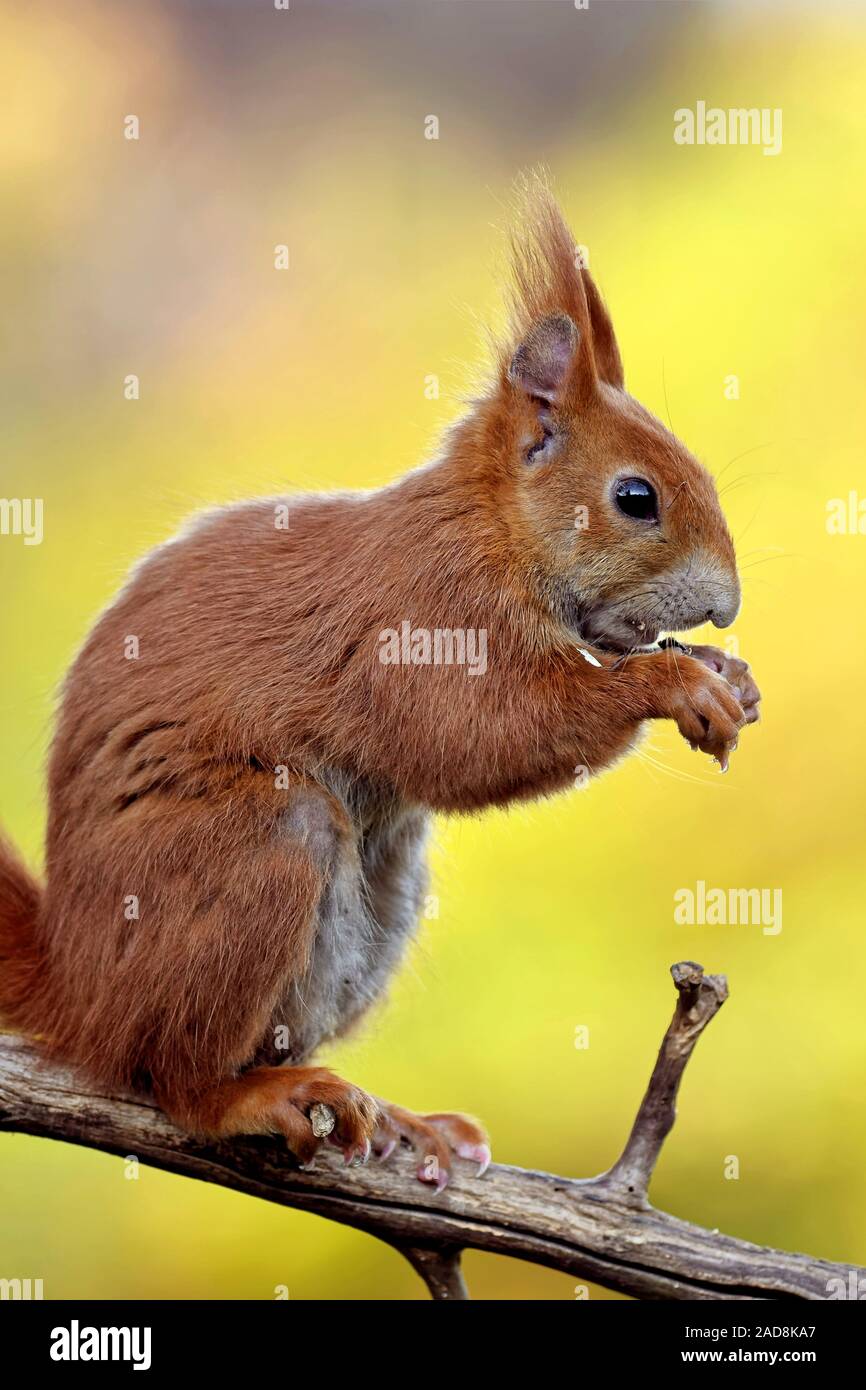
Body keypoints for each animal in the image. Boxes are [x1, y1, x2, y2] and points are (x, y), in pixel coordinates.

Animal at [0, 179, 760, 1189]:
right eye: (636, 498)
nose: (726, 606)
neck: (487, 529)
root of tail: (75, 988)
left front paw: (730, 677)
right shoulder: (412, 621)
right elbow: (473, 736)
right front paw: (676, 683)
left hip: (388, 889)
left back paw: (401, 1120)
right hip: (256, 844)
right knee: (166, 1073)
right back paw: (245, 1098)